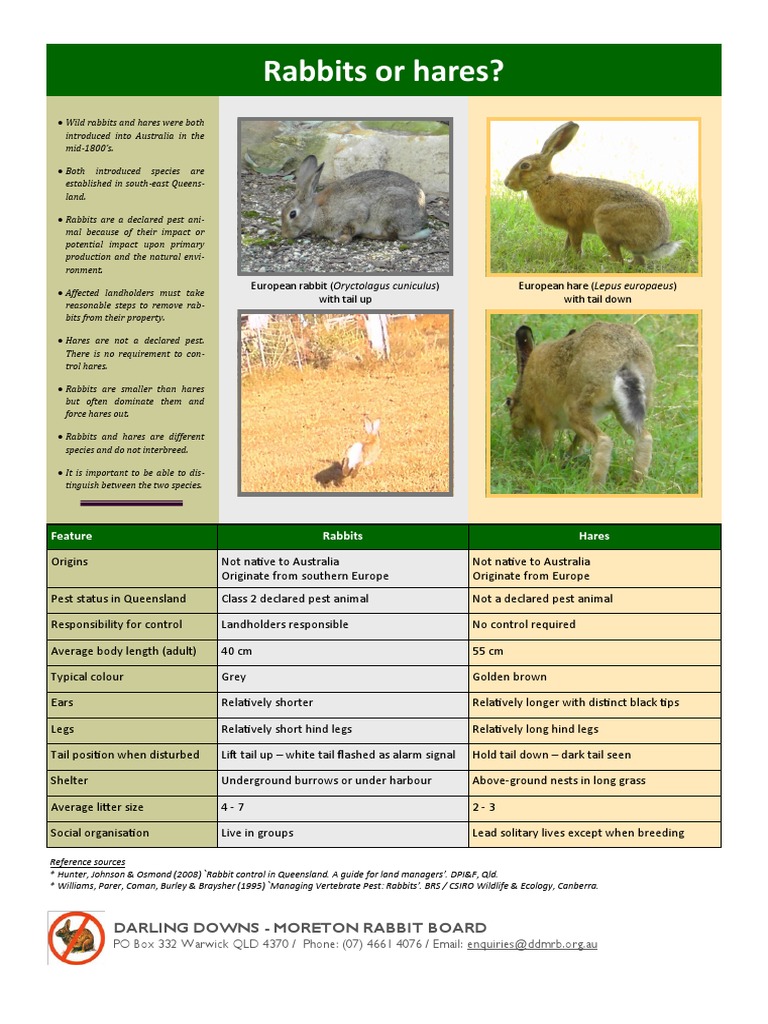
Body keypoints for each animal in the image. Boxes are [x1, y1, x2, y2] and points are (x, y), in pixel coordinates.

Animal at [281, 156, 431, 243]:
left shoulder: (355, 213)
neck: (316, 210)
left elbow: (351, 228)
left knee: (392, 235)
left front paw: (340, 239)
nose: (286, 234)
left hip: (388, 211)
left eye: (292, 214)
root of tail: (420, 219)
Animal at [504, 122, 681, 266]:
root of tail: (658, 241)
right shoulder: (570, 227)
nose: (506, 183)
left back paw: (608, 263)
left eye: (525, 166)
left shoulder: (574, 222)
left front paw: (575, 259)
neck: (544, 181)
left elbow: (576, 242)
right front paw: (564, 255)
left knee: (620, 260)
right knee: (638, 261)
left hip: (603, 222)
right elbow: (568, 241)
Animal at [505, 321, 655, 487]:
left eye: (508, 402)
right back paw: (635, 484)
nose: (517, 435)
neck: (526, 390)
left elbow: (548, 443)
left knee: (603, 441)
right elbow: (579, 442)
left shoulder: (545, 418)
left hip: (575, 409)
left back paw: (593, 485)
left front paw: (546, 461)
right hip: (622, 411)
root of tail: (628, 360)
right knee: (644, 438)